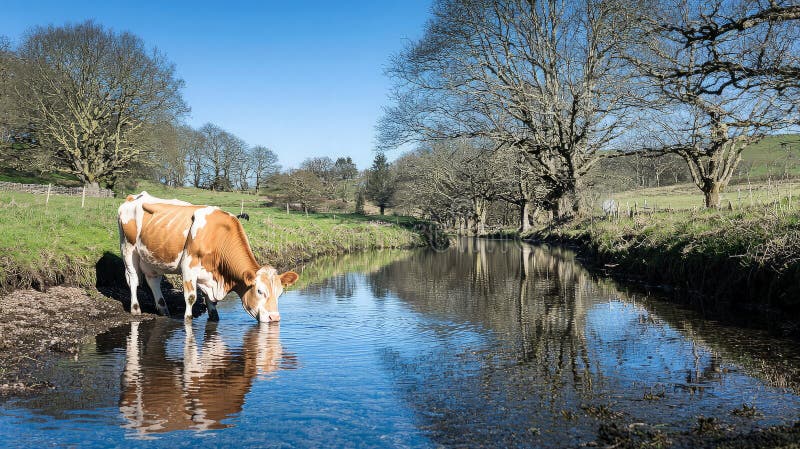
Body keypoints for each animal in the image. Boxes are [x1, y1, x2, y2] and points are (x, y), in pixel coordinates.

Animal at [117, 192, 299, 322]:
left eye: (280, 293)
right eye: (260, 291)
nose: (274, 317)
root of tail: (134, 197)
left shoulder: (210, 276)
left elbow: (212, 303)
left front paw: (214, 316)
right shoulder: (188, 266)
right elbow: (191, 297)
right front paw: (188, 319)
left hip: (153, 257)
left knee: (153, 280)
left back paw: (164, 310)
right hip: (128, 248)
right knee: (133, 279)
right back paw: (135, 309)